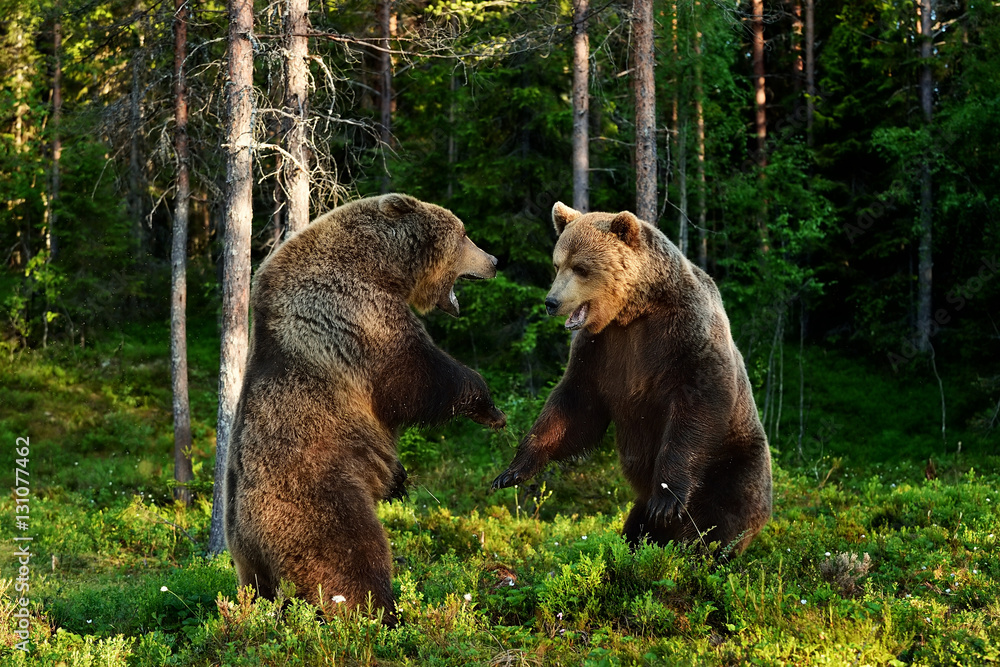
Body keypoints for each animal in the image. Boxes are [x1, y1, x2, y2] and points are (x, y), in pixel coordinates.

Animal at [224, 193, 507, 623]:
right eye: (463, 234)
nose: (493, 260)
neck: (378, 266)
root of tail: (244, 532)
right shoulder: (357, 316)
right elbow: (416, 377)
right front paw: (488, 405)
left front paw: (400, 479)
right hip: (320, 501)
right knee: (353, 559)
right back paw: (384, 614)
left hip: (251, 568)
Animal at [492, 202, 771, 555]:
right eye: (557, 265)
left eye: (580, 268)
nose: (551, 302)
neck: (634, 312)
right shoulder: (601, 351)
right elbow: (574, 408)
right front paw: (512, 471)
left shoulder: (686, 335)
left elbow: (697, 406)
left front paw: (667, 498)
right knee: (639, 525)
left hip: (734, 465)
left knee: (721, 520)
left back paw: (699, 548)